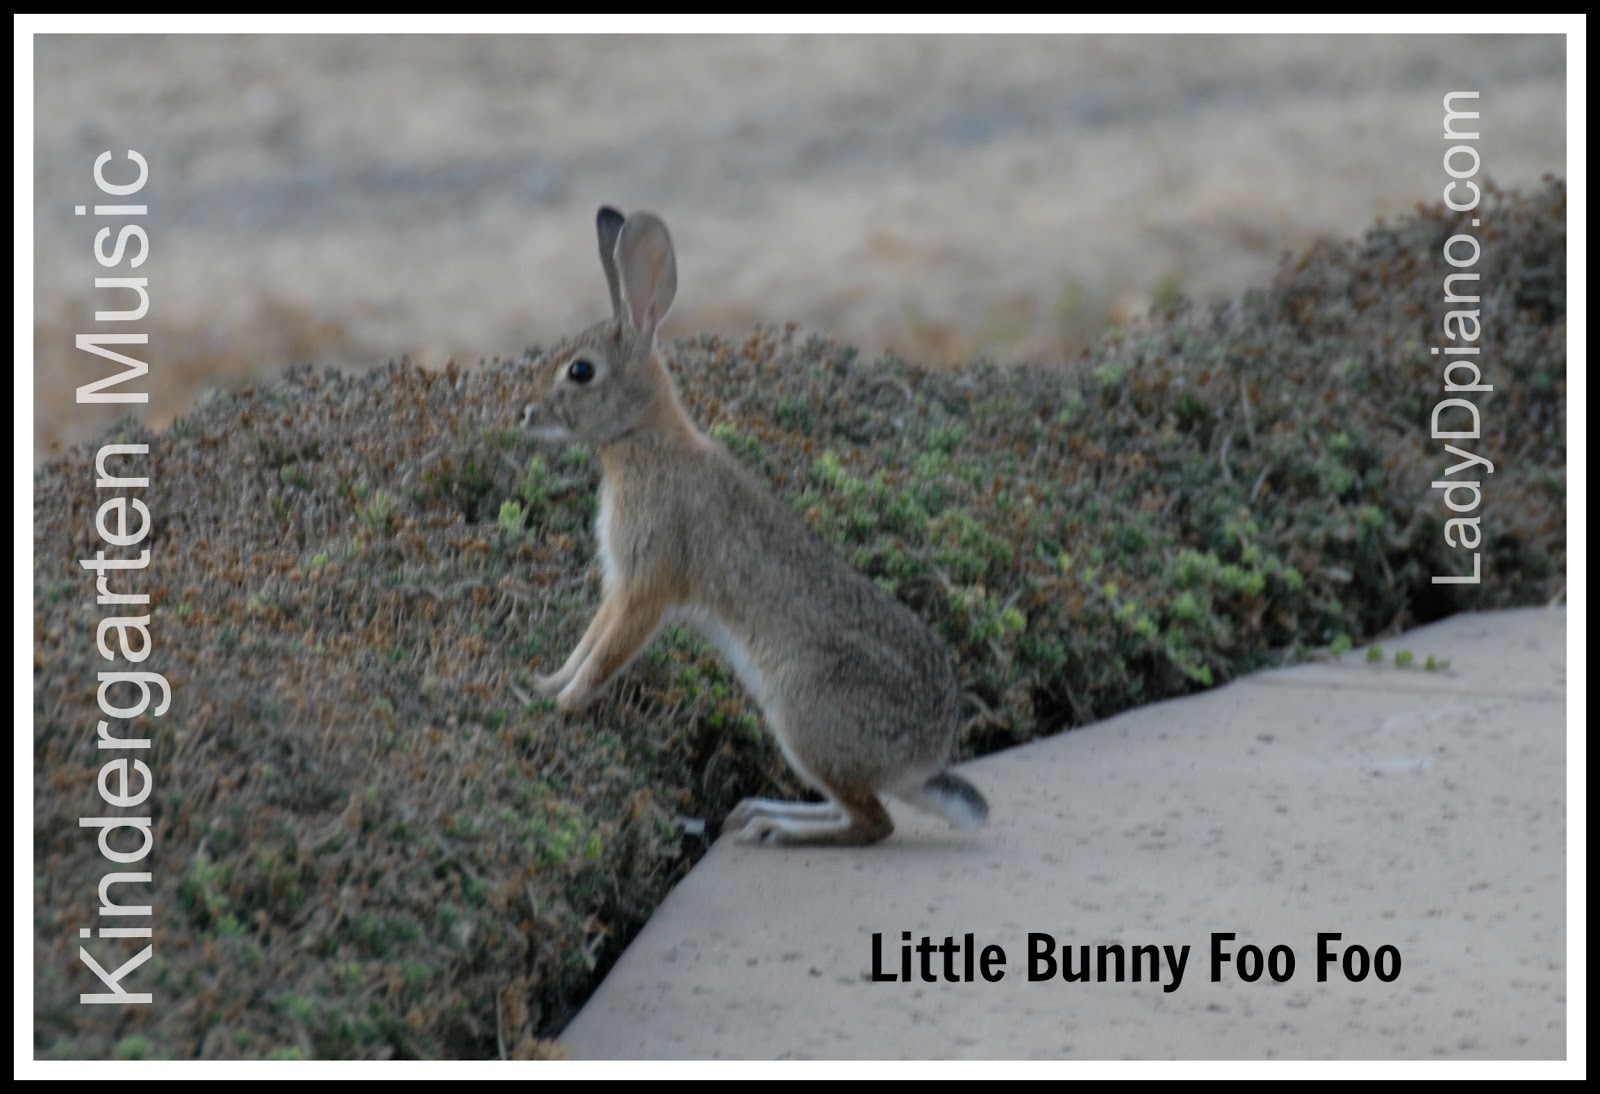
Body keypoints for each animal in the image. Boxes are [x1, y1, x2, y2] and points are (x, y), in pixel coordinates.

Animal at [519, 206, 988, 847]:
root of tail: (923, 761)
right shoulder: (620, 585)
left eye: (581, 371)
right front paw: (542, 685)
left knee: (874, 822)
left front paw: (560, 708)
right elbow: (588, 641)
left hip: (802, 715)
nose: (525, 414)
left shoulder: (648, 584)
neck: (643, 439)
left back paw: (778, 831)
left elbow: (608, 654)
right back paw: (761, 814)